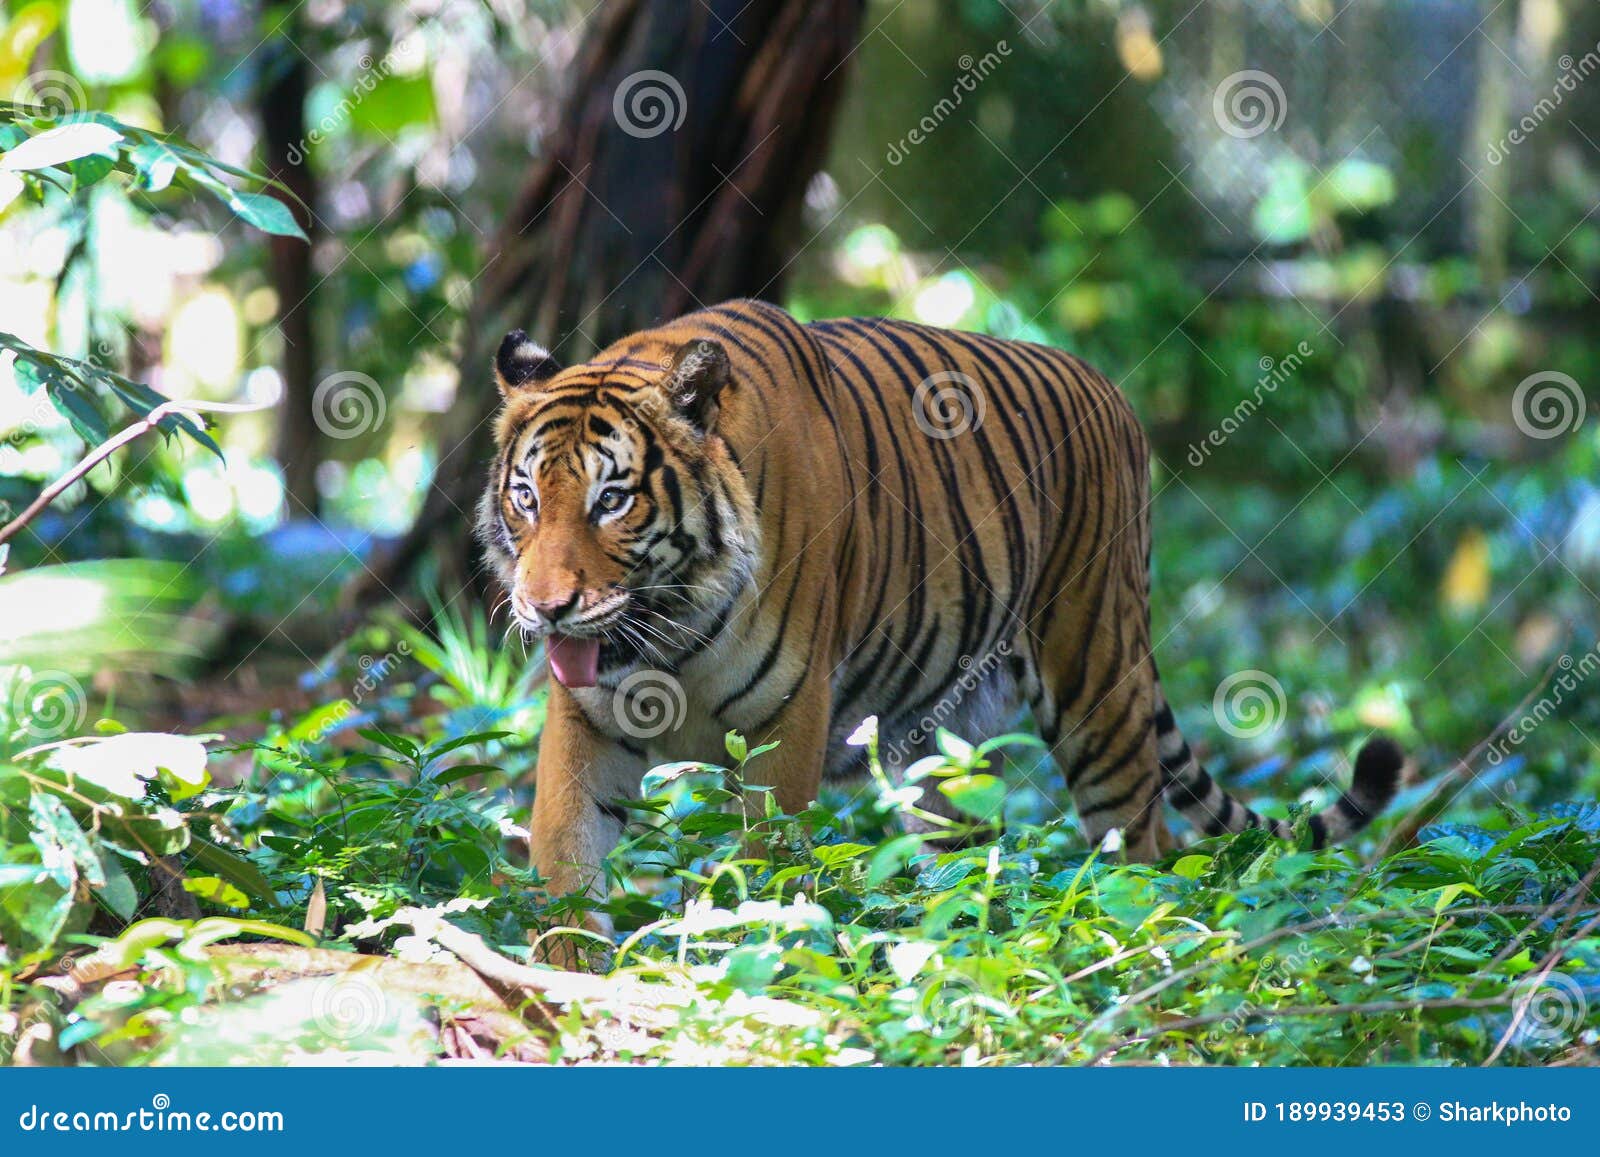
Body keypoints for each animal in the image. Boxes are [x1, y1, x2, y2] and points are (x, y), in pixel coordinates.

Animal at [477, 298, 1405, 943]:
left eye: (612, 500)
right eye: (527, 497)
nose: (545, 606)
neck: (670, 625)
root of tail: (1112, 391)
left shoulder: (787, 726)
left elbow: (760, 874)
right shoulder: (588, 722)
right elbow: (565, 857)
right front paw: (566, 979)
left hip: (1098, 684)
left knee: (1143, 843)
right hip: (944, 753)